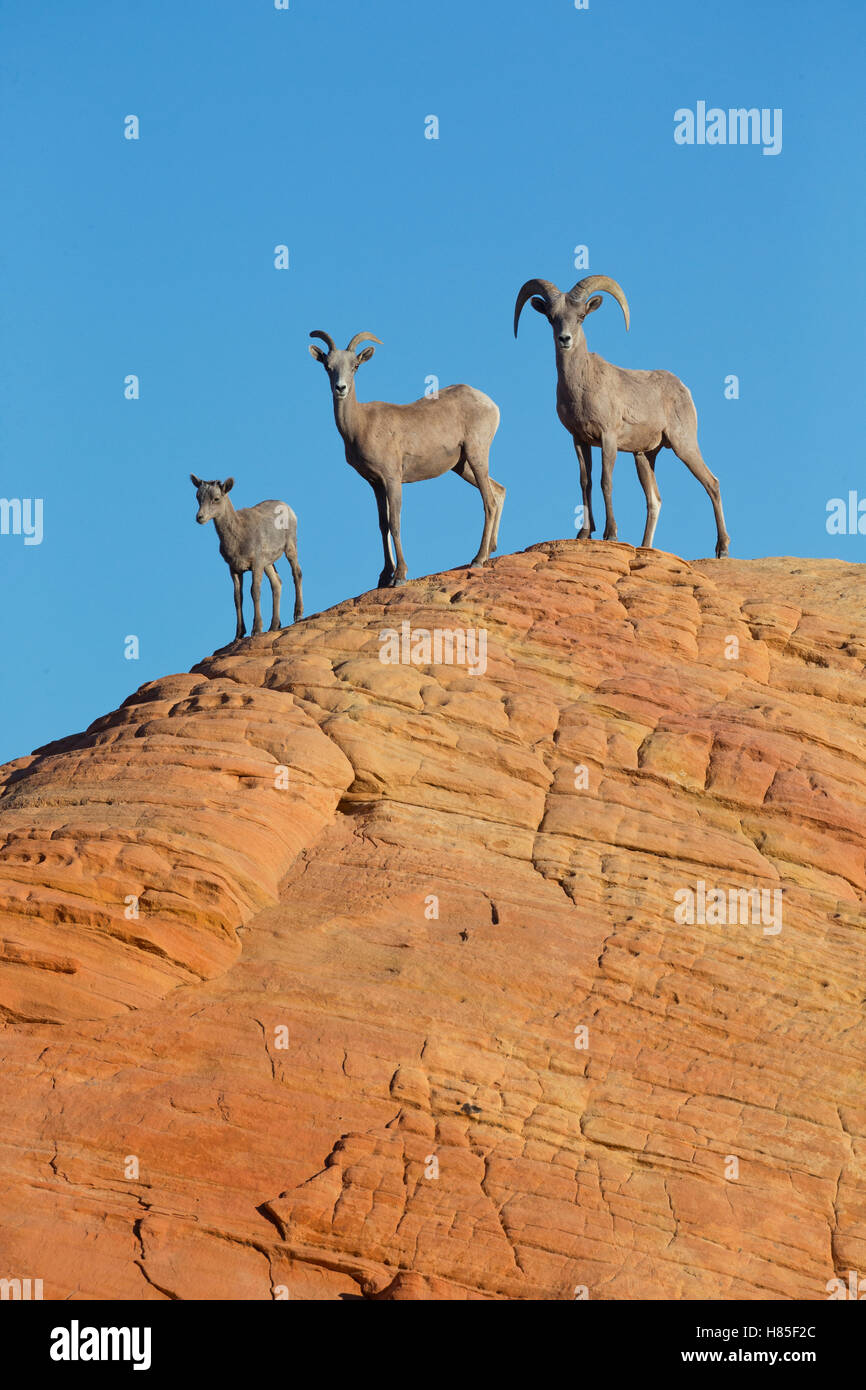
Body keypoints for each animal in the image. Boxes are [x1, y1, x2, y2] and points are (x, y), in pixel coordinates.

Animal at [190, 475, 303, 639]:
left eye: (216, 498)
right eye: (198, 496)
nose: (200, 517)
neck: (239, 537)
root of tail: (287, 507)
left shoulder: (256, 564)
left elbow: (255, 591)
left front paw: (256, 629)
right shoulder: (234, 569)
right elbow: (238, 598)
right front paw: (238, 634)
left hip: (290, 547)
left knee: (297, 573)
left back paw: (298, 615)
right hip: (268, 564)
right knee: (277, 583)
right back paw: (274, 626)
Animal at [308, 330, 505, 587]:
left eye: (355, 366)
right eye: (328, 367)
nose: (340, 388)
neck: (360, 425)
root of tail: (490, 404)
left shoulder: (392, 478)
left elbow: (395, 523)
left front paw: (400, 576)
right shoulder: (375, 484)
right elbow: (382, 525)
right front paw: (384, 576)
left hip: (476, 455)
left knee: (489, 502)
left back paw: (478, 559)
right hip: (462, 466)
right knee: (499, 491)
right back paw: (491, 550)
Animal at [513, 274, 731, 558]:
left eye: (581, 316)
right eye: (551, 317)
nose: (565, 339)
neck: (581, 385)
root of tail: (682, 388)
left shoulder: (608, 438)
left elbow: (606, 482)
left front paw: (611, 534)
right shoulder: (579, 440)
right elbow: (586, 482)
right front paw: (584, 533)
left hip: (684, 445)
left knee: (712, 484)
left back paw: (722, 549)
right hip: (645, 456)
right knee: (654, 500)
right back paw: (645, 547)